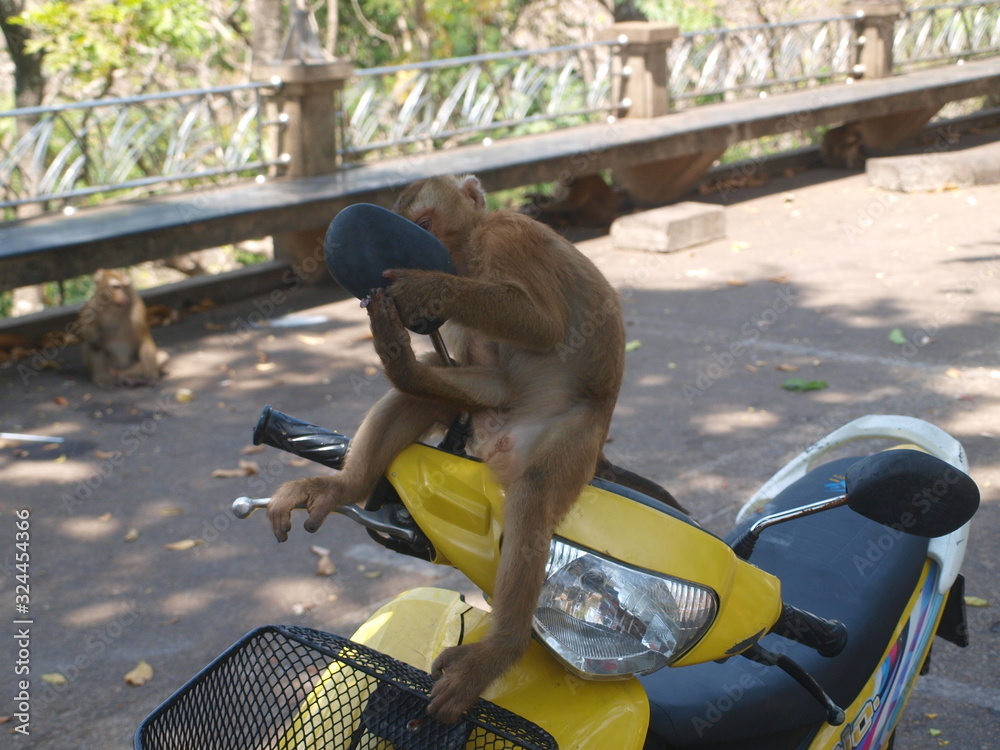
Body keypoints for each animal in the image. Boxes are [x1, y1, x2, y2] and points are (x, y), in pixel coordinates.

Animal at [267, 174, 683, 723]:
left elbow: (542, 324)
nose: (426, 254)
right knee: (431, 393)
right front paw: (404, 354)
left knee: (534, 494)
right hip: (489, 418)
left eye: (424, 225)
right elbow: (485, 377)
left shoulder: (509, 240)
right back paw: (349, 476)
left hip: (573, 437)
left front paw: (425, 288)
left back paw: (500, 650)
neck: (470, 255)